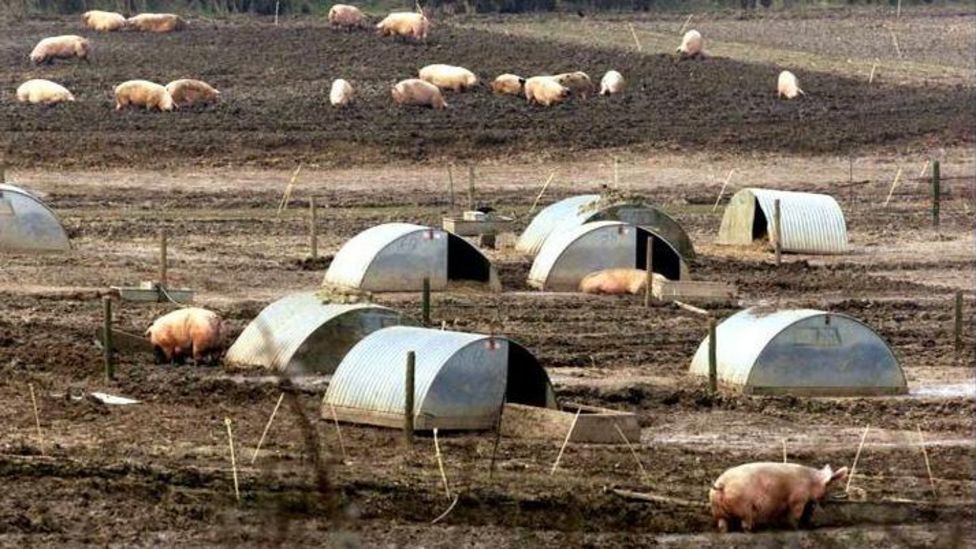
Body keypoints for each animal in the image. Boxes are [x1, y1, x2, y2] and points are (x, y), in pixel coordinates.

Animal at [710, 462, 848, 532]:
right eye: (828, 485)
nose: (826, 502)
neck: (811, 482)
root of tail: (722, 484)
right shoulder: (798, 499)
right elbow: (795, 515)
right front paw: (797, 529)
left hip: (717, 509)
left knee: (722, 525)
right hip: (744, 507)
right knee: (745, 524)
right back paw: (753, 531)